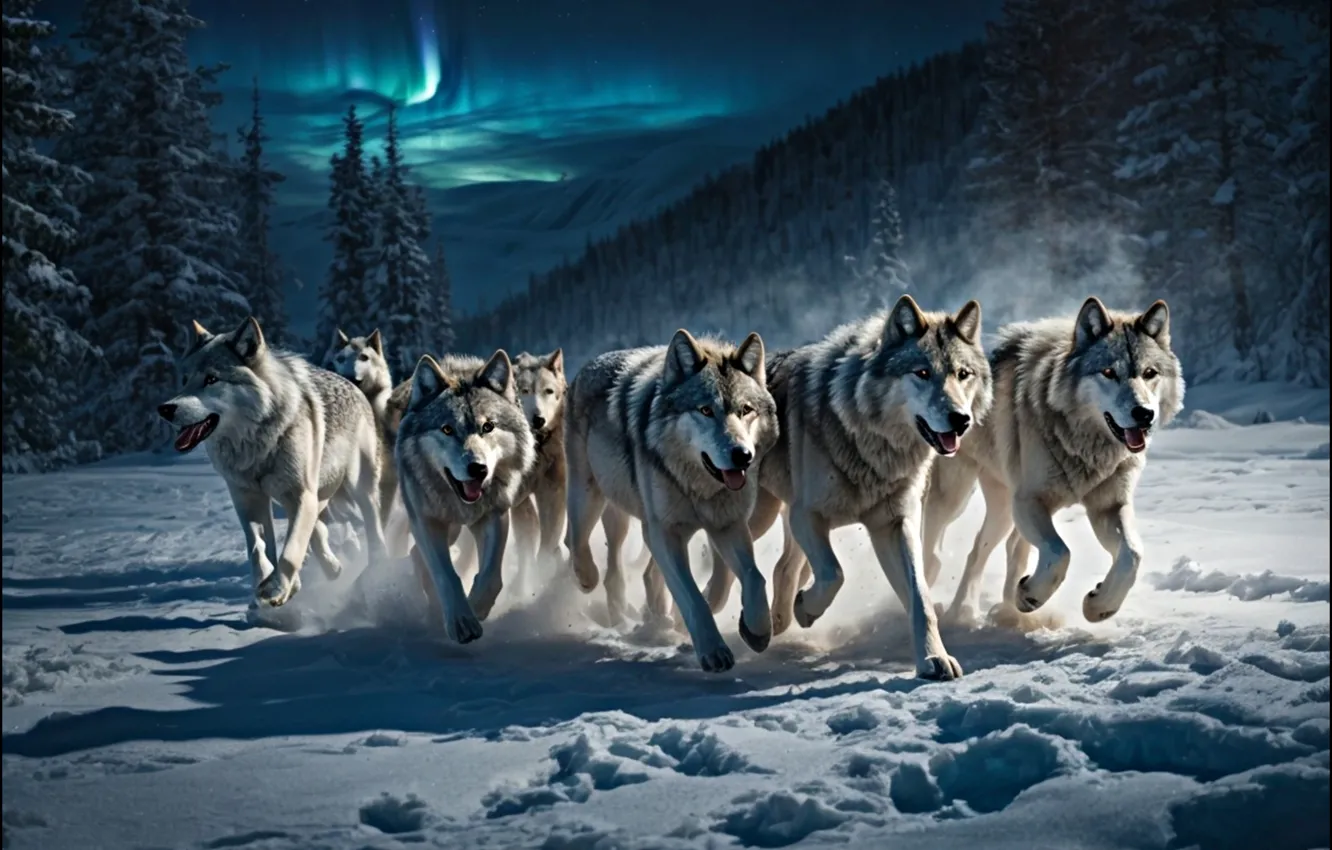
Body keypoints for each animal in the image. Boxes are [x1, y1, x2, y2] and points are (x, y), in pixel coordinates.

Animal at [157, 317, 387, 607]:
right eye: (185, 380)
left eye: (211, 379)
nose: (165, 408)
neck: (256, 446)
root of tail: (353, 386)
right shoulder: (247, 498)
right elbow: (258, 546)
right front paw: (270, 581)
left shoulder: (300, 495)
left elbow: (292, 547)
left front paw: (277, 588)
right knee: (315, 530)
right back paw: (331, 568)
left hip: (359, 488)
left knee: (372, 529)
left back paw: (378, 568)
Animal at [395, 351, 536, 643]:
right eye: (447, 429)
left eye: (488, 426)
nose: (478, 468)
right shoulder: (426, 521)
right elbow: (446, 575)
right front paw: (461, 621)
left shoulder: (494, 515)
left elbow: (492, 577)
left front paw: (477, 608)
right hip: (442, 527)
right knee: (418, 556)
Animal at [563, 329, 779, 673]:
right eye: (706, 410)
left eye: (745, 410)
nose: (742, 455)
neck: (698, 486)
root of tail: (589, 365)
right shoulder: (666, 532)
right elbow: (692, 597)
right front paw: (713, 651)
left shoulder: (728, 525)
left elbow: (754, 578)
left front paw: (757, 631)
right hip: (591, 497)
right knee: (578, 541)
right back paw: (588, 580)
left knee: (648, 573)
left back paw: (657, 618)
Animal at [709, 295, 993, 681]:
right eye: (922, 373)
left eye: (963, 374)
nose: (960, 420)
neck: (871, 447)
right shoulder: (809, 515)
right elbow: (834, 574)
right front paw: (806, 610)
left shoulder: (895, 524)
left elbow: (921, 599)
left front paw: (934, 659)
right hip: (762, 516)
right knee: (725, 551)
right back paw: (731, 614)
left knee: (783, 566)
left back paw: (777, 620)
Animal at [921, 297, 1184, 625]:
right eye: (1109, 372)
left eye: (1150, 373)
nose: (1144, 414)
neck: (1086, 448)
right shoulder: (1030, 500)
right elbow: (1061, 553)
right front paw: (1031, 595)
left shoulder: (1109, 505)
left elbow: (1132, 555)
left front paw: (1099, 606)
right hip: (958, 498)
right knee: (935, 550)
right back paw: (954, 607)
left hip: (1004, 509)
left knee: (987, 548)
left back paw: (982, 610)